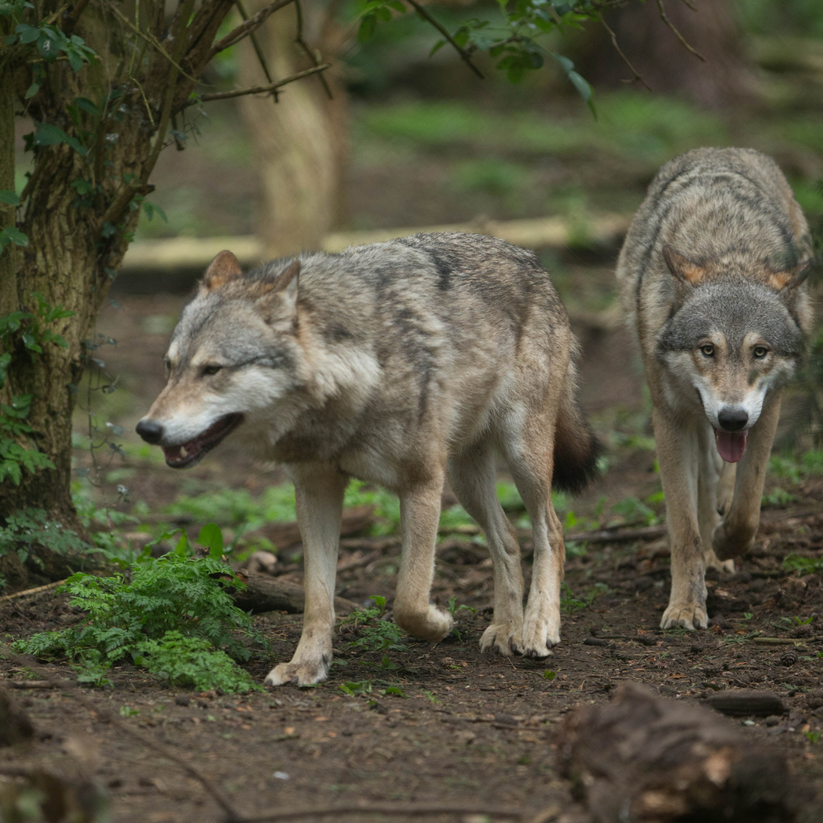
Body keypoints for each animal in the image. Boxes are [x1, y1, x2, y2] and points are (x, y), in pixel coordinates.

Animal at [136, 232, 599, 685]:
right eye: (169, 367)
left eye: (212, 370)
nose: (147, 429)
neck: (353, 381)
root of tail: (529, 257)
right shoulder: (316, 490)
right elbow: (317, 598)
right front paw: (308, 664)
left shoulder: (423, 482)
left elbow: (408, 600)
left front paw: (440, 623)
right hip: (465, 481)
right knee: (507, 538)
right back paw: (506, 629)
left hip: (521, 457)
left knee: (551, 531)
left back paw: (538, 627)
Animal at [617, 148, 814, 630]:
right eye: (707, 349)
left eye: (760, 351)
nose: (732, 417)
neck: (729, 251)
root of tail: (725, 149)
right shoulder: (669, 419)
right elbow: (684, 528)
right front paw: (687, 605)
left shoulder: (768, 409)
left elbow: (747, 509)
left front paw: (726, 543)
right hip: (695, 419)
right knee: (706, 475)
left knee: (724, 477)